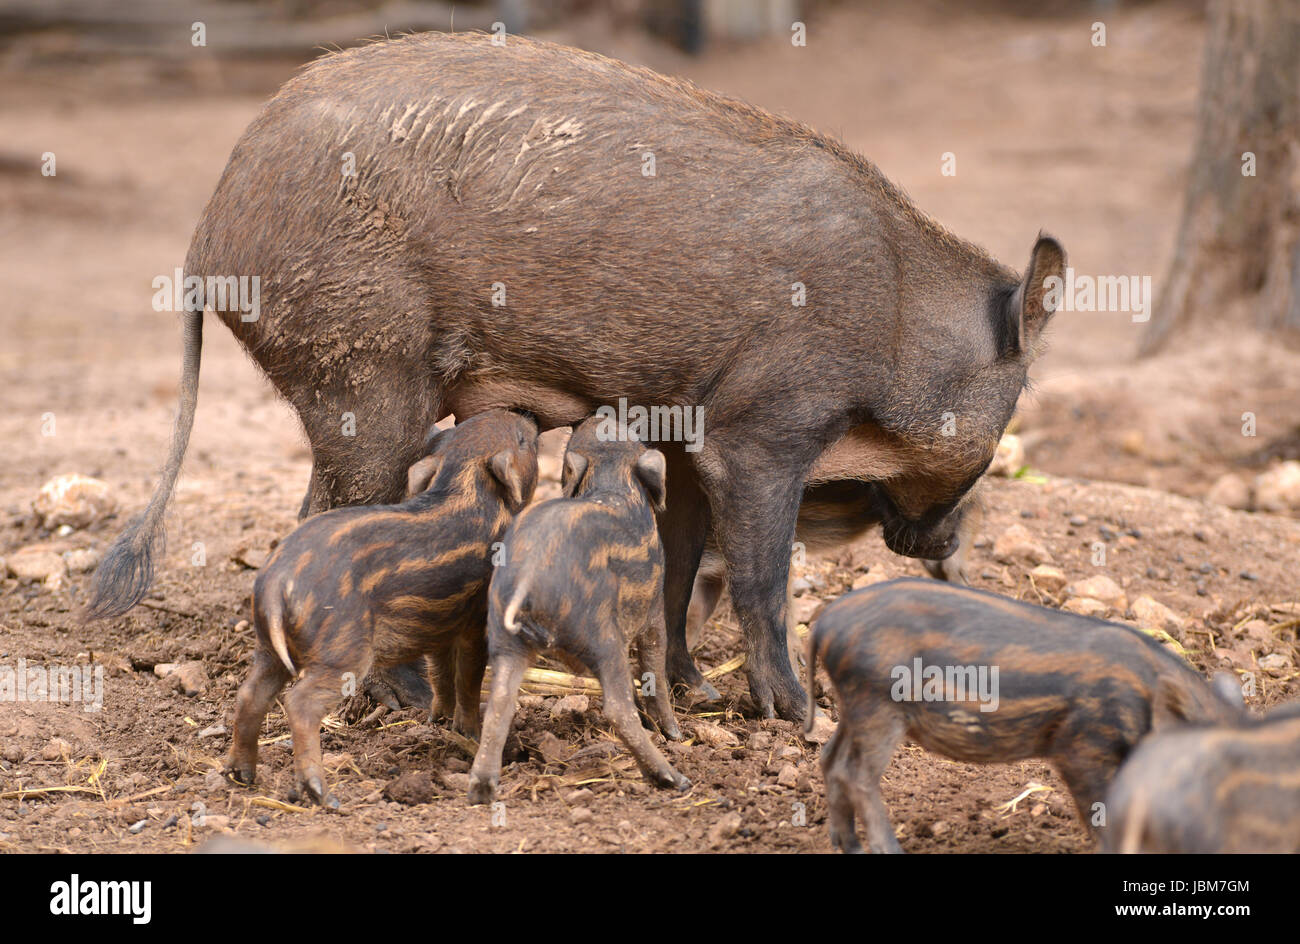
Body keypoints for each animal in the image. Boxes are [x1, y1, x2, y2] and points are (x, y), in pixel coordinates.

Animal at [87, 31, 1066, 723]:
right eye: (1011, 407)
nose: (953, 545)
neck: (898, 329)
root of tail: (208, 237)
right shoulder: (762, 431)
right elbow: (760, 578)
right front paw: (797, 715)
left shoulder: (687, 431)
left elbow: (678, 561)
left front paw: (698, 695)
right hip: (362, 373)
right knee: (335, 514)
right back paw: (399, 701)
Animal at [224, 409, 539, 808]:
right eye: (522, 440)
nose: (527, 415)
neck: (465, 484)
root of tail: (277, 584)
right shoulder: (475, 620)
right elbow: (468, 679)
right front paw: (468, 731)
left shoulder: (439, 623)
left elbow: (441, 674)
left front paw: (437, 719)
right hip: (342, 652)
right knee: (299, 704)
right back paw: (322, 796)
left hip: (268, 648)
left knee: (250, 696)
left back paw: (240, 776)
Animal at [468, 418, 689, 804]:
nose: (595, 416)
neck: (613, 480)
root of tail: (530, 574)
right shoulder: (653, 609)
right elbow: (655, 665)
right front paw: (674, 732)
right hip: (602, 635)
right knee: (617, 707)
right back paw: (675, 779)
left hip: (504, 639)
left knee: (499, 703)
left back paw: (482, 791)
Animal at [806, 578, 1244, 853]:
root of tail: (825, 623)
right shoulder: (1081, 749)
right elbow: (1100, 813)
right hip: (876, 706)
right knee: (856, 775)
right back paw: (886, 849)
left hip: (855, 708)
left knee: (830, 759)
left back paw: (846, 845)